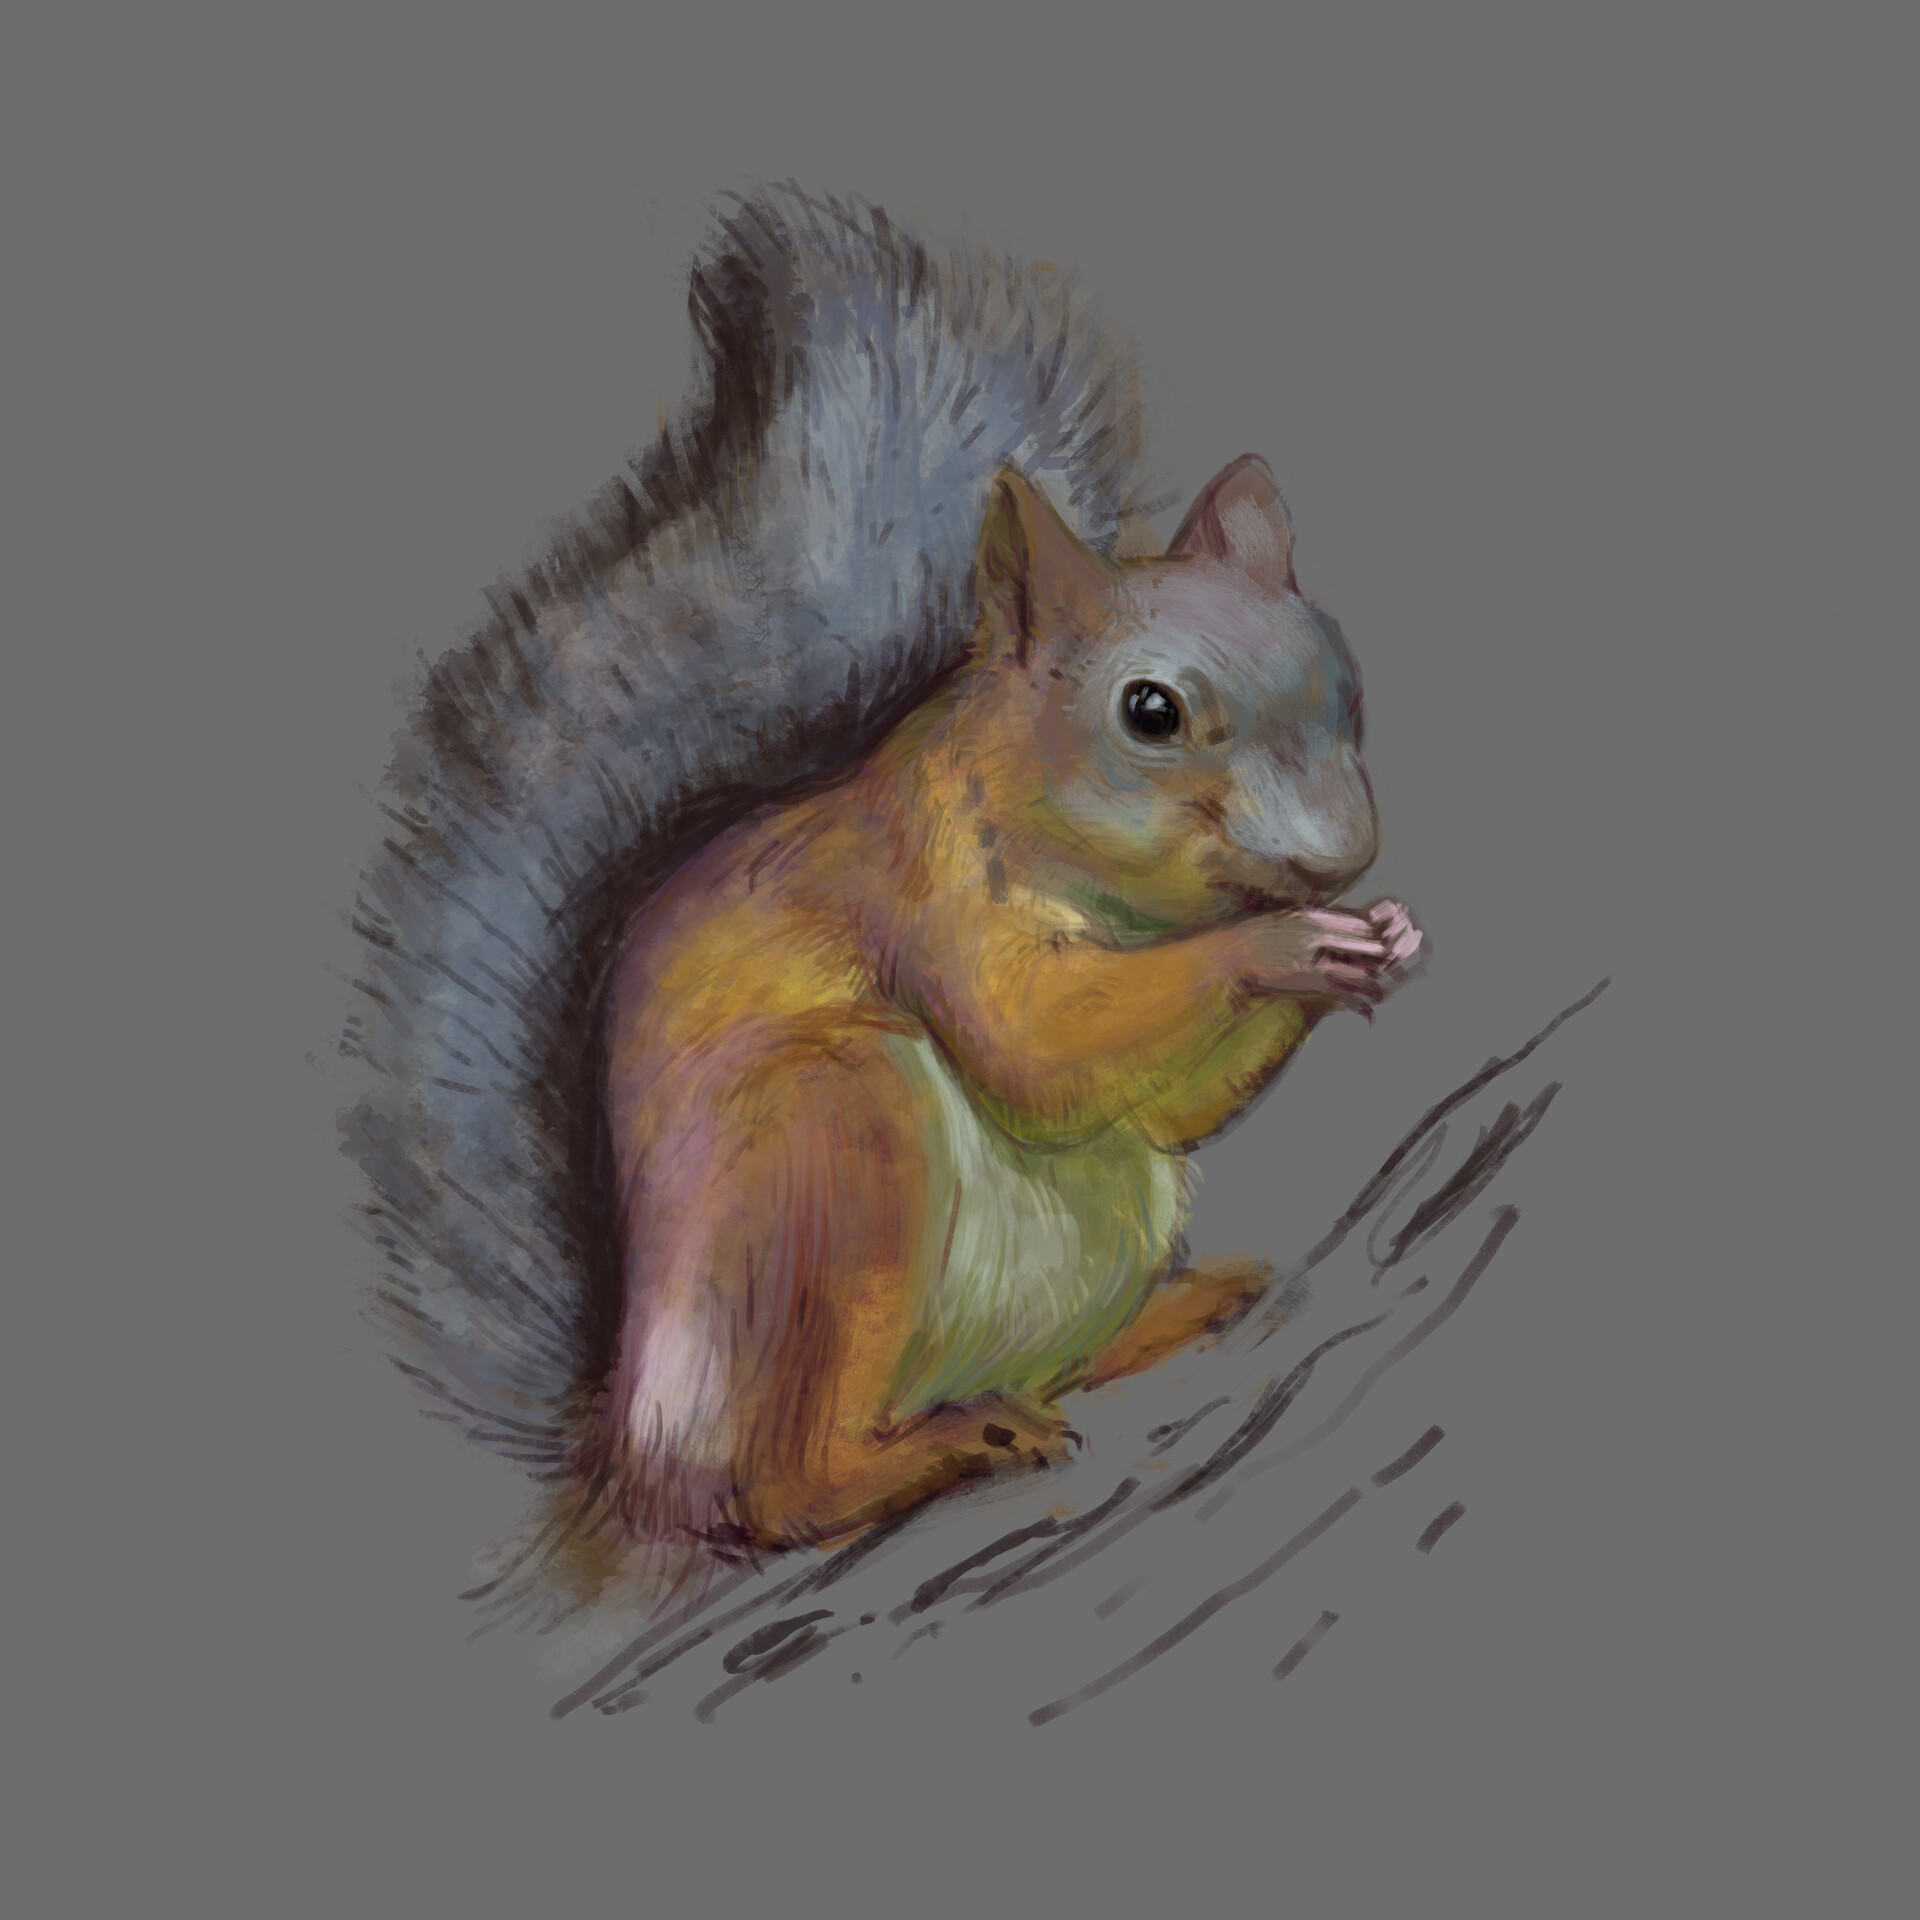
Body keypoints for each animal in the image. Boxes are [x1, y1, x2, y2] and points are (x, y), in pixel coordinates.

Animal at [344, 184, 1422, 1604]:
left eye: (1346, 669)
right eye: (1151, 713)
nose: (1345, 855)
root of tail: (631, 1438)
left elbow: (1167, 1105)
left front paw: (1377, 937)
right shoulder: (930, 892)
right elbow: (1039, 1048)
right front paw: (1287, 945)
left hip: (1096, 1222)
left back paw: (1166, 1316)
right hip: (828, 1151)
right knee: (774, 1491)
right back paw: (929, 1453)